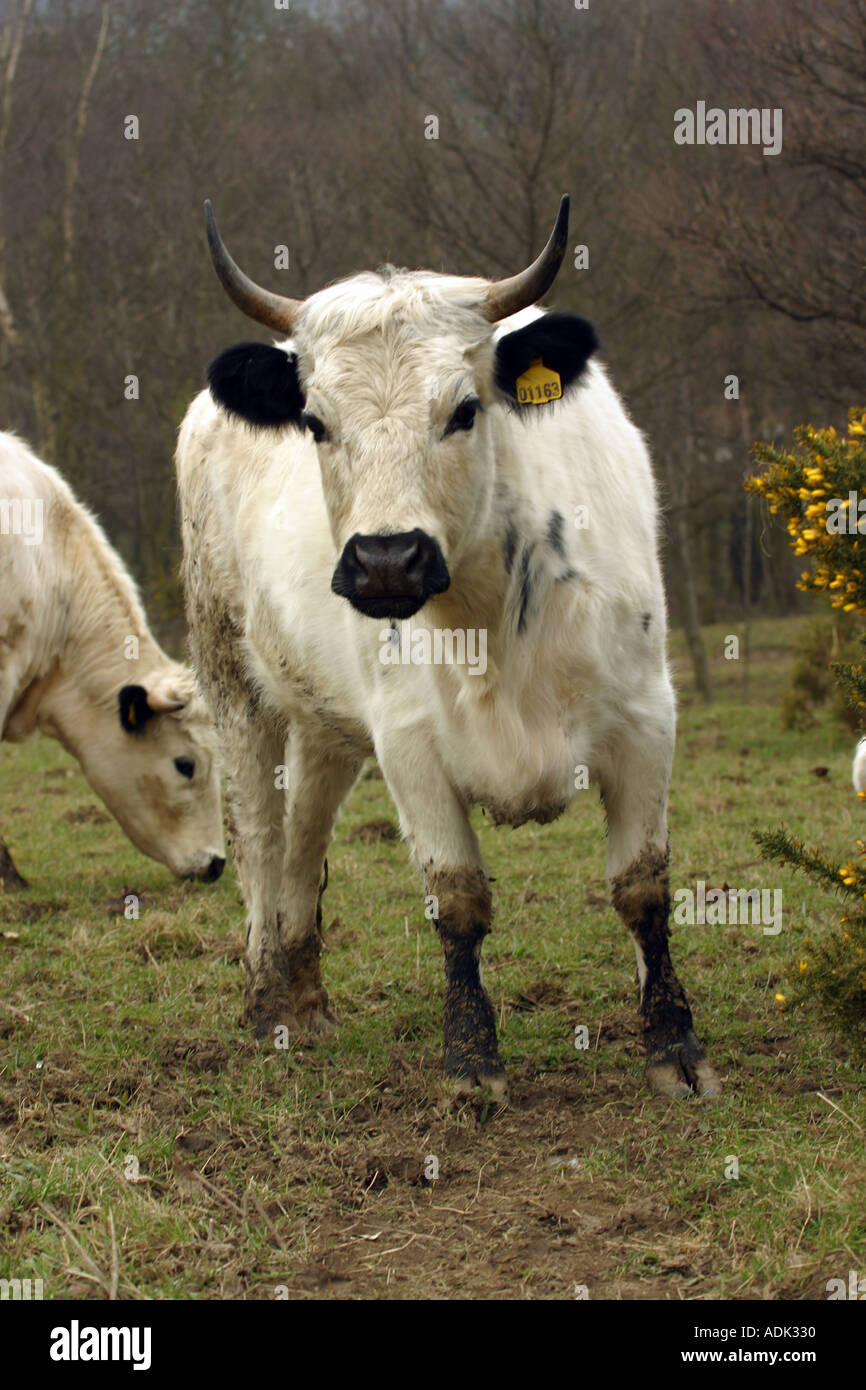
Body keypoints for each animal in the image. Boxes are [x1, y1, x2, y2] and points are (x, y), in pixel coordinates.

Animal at [175, 195, 720, 1100]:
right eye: (316, 422)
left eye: (465, 409)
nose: (385, 559)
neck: (488, 619)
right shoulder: (410, 746)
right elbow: (458, 901)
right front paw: (471, 1064)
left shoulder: (648, 719)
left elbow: (642, 888)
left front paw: (675, 1047)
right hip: (232, 682)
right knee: (257, 832)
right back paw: (266, 1002)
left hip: (324, 718)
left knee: (306, 835)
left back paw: (306, 999)